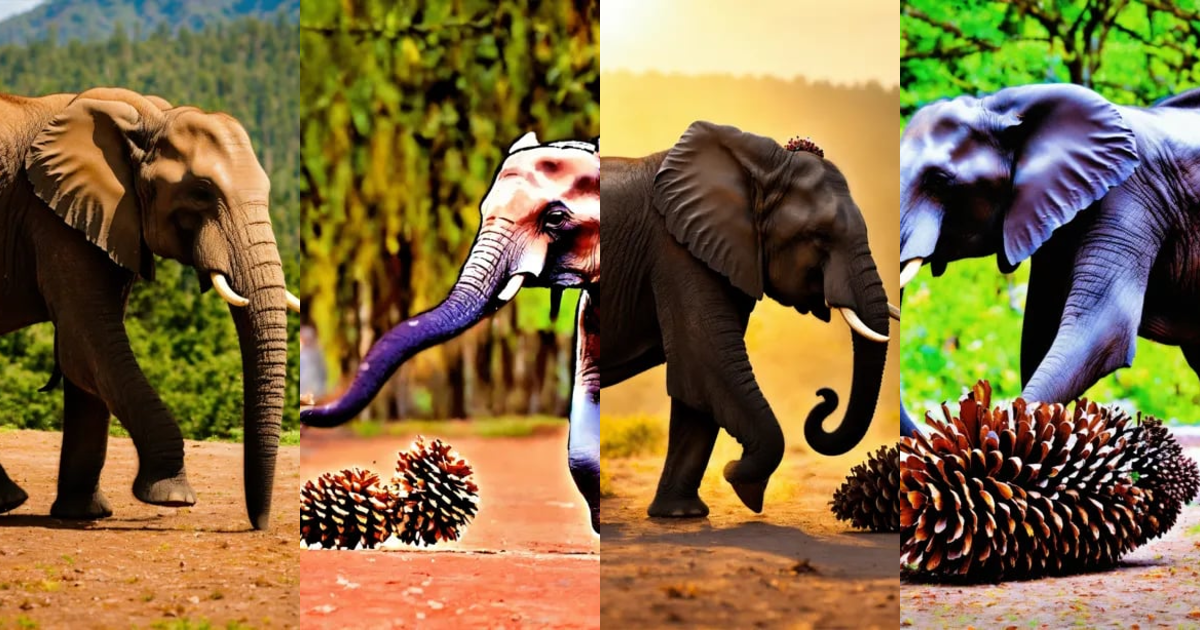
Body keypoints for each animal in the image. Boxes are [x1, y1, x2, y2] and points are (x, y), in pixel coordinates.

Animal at [0, 88, 300, 529]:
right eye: (201, 192)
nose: (258, 524)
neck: (147, 117)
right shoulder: (53, 220)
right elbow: (89, 347)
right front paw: (173, 496)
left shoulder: (100, 220)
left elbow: (83, 357)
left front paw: (83, 513)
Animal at [598, 121, 897, 518]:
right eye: (818, 236)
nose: (824, 397)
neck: (757, 167)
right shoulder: (676, 251)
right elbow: (708, 363)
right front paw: (742, 484)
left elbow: (700, 386)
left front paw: (682, 513)